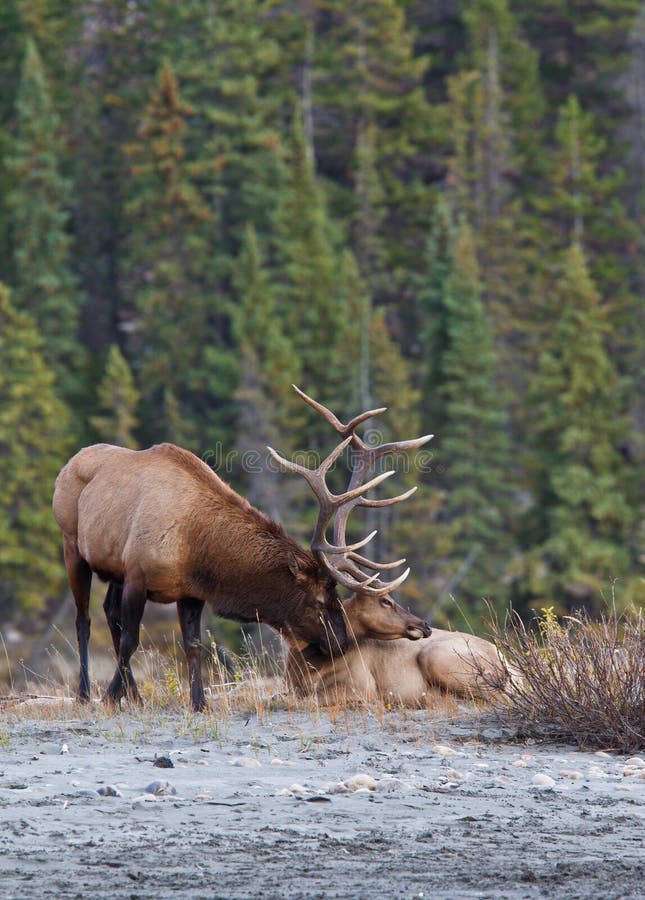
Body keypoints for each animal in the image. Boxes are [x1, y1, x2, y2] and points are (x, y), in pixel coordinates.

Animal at [52, 386, 432, 711]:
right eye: (319, 600)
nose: (343, 642)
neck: (196, 547)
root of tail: (68, 464)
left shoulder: (189, 591)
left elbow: (193, 646)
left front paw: (199, 703)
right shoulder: (137, 575)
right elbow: (132, 640)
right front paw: (110, 697)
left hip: (111, 566)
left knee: (108, 612)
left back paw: (133, 693)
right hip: (73, 546)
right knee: (85, 618)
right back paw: (86, 693)